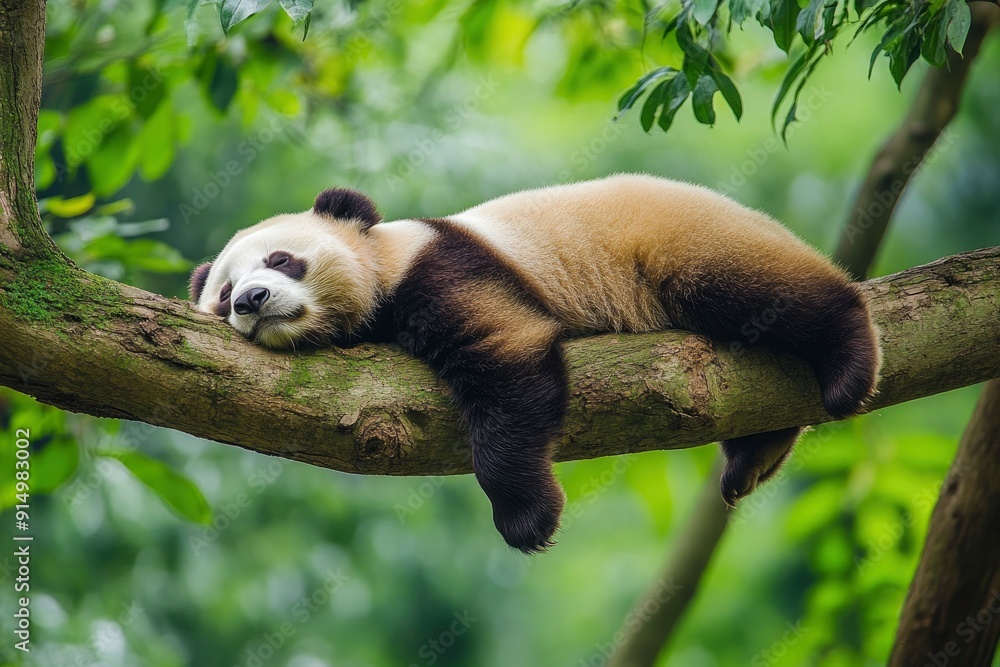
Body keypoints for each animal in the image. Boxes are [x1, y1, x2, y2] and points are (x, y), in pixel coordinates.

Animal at [190, 174, 880, 554]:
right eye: (222, 294)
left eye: (281, 259)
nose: (250, 301)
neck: (382, 263)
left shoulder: (440, 267)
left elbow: (506, 356)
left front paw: (527, 519)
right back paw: (752, 458)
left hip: (684, 240)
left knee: (765, 291)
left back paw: (848, 366)